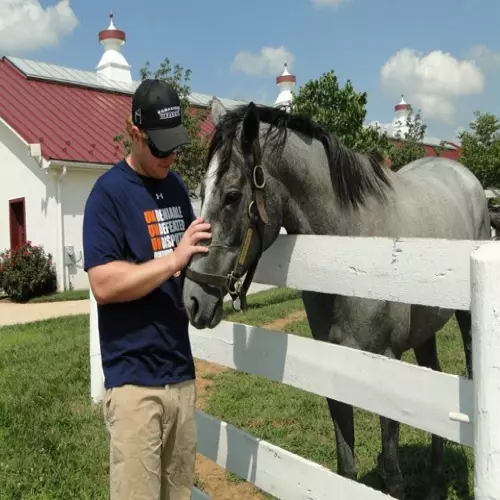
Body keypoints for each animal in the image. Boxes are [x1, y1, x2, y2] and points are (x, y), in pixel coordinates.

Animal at [182, 99, 494, 498]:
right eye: (201, 190)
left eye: (232, 196)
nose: (192, 299)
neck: (349, 251)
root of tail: (464, 176)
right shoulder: (333, 364)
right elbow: (346, 465)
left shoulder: (386, 362)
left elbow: (391, 467)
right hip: (426, 330)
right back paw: (436, 478)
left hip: (465, 322)